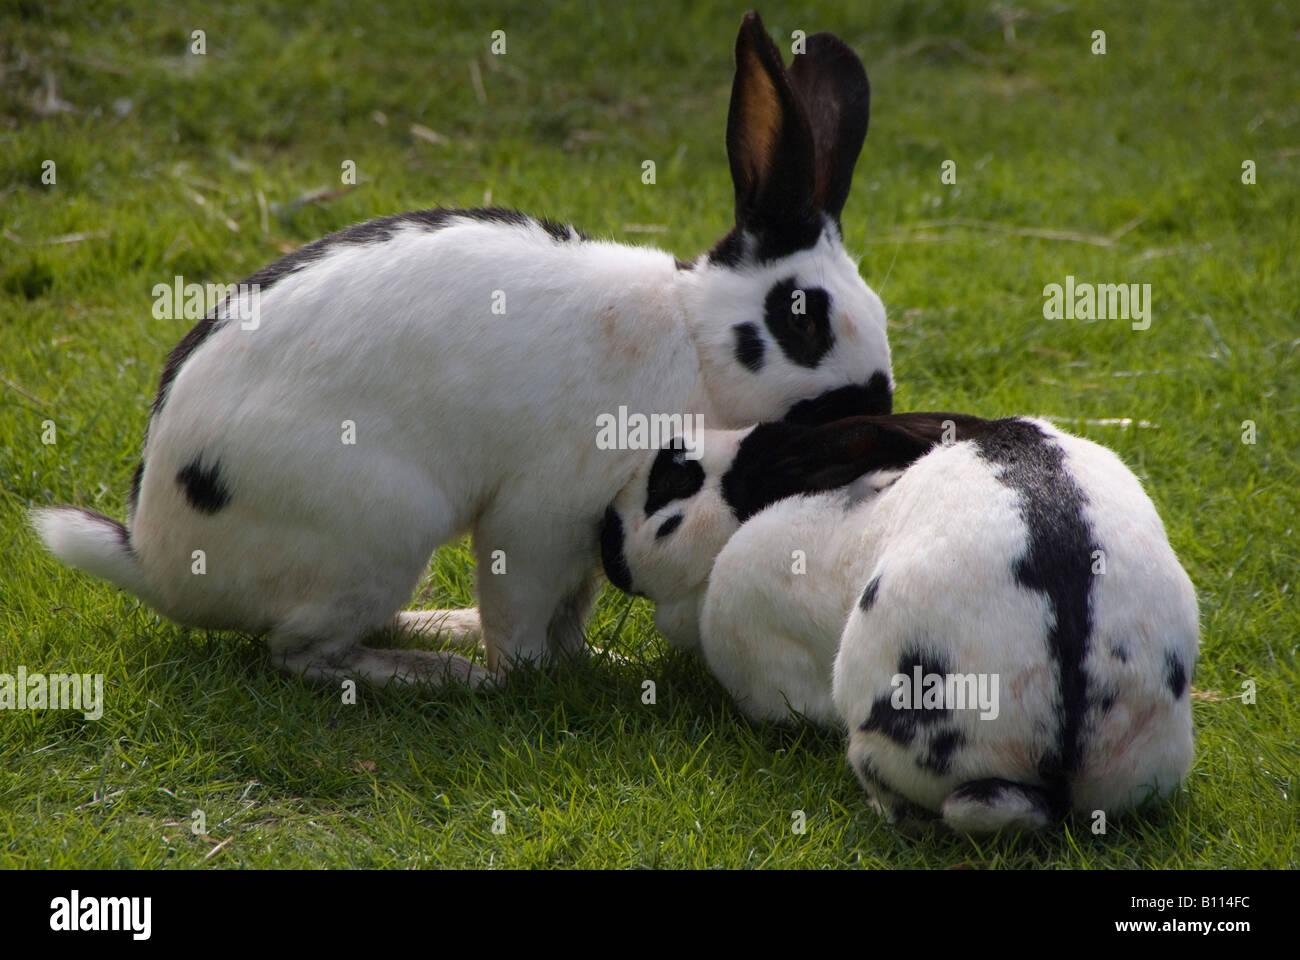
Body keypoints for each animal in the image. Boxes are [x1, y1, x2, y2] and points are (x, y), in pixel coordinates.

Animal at [31, 12, 896, 689]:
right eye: (802, 321)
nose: (877, 405)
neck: (691, 337)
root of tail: (154, 559)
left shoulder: (587, 531)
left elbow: (574, 608)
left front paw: (594, 665)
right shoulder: (543, 510)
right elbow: (526, 609)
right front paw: (531, 676)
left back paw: (439, 629)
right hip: (379, 528)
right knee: (301, 652)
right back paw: (445, 672)